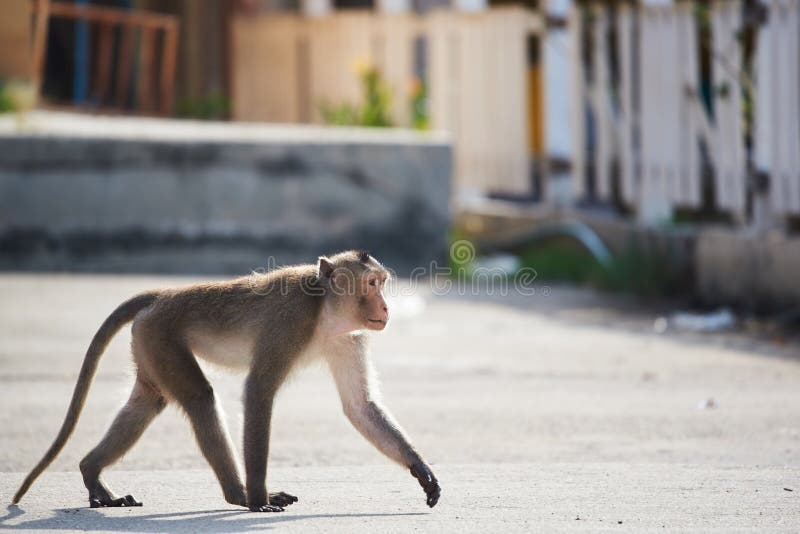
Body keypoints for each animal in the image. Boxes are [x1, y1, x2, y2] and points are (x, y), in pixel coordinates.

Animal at [12, 250, 440, 512]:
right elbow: (259, 391)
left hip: (148, 340)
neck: (324, 311)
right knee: (200, 398)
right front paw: (258, 499)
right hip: (161, 334)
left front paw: (421, 470)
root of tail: (163, 295)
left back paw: (91, 472)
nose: (385, 307)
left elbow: (359, 407)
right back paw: (237, 495)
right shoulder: (289, 321)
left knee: (148, 400)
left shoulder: (350, 338)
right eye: (371, 285)